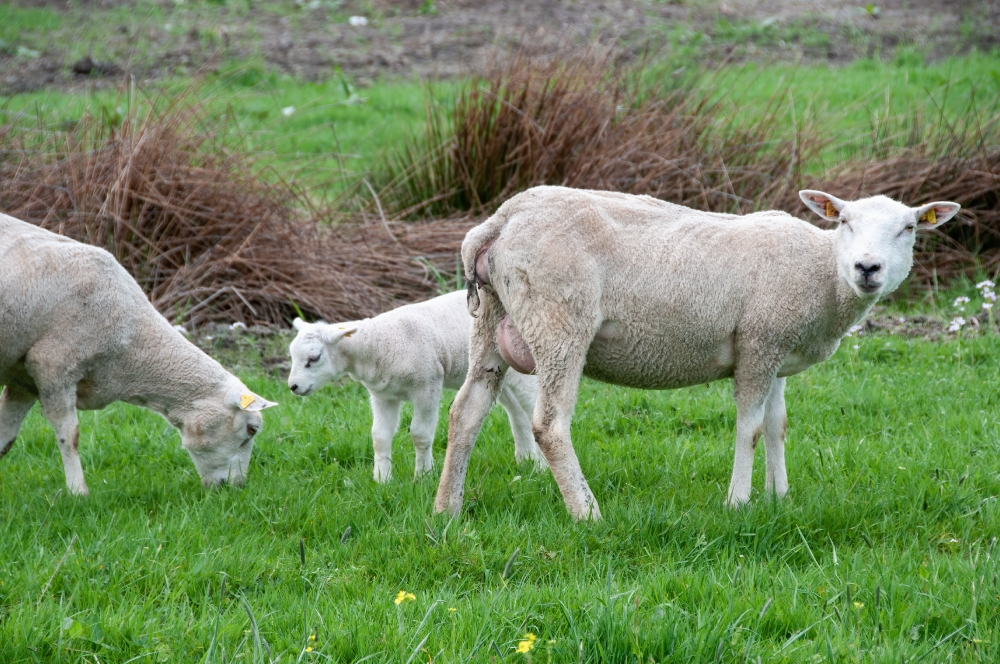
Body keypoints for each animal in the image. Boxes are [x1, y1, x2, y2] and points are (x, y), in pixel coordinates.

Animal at [0, 212, 278, 495]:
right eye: (252, 429)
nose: (237, 487)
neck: (134, 343)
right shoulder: (54, 365)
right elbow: (71, 436)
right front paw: (78, 492)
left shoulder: (24, 380)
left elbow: (5, 436)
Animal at [287, 290, 545, 482]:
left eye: (314, 358)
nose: (293, 386)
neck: (378, 343)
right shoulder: (383, 395)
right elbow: (379, 436)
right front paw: (382, 480)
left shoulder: (427, 386)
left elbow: (420, 434)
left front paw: (423, 476)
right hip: (499, 375)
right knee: (517, 415)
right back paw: (526, 460)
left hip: (520, 369)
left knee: (531, 410)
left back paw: (541, 467)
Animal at [436, 186, 961, 520]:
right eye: (846, 222)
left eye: (909, 228)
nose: (867, 268)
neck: (821, 273)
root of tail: (499, 222)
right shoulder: (758, 343)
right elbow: (750, 429)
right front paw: (739, 503)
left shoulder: (778, 352)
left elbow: (777, 425)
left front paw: (779, 497)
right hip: (559, 317)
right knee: (548, 424)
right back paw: (587, 513)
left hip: (491, 316)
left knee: (467, 409)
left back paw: (448, 509)